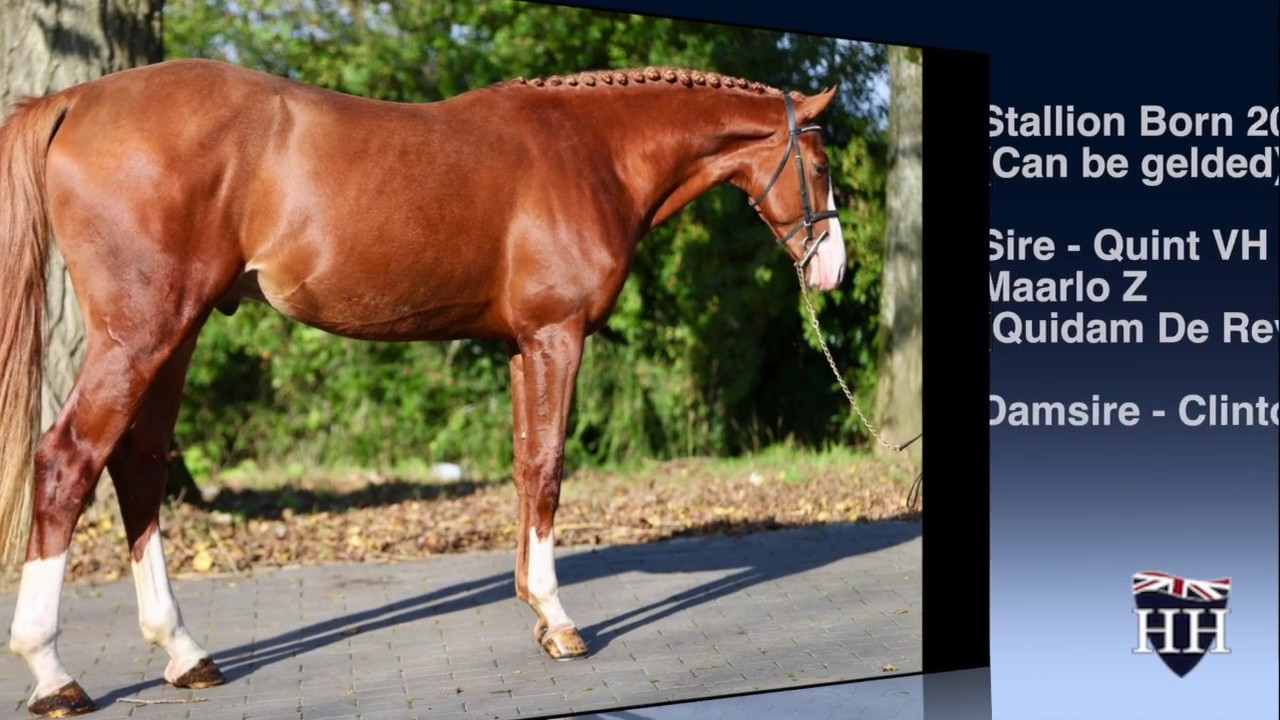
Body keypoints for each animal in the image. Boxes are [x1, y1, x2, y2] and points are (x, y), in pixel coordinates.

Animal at [0, 59, 847, 716]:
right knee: (68, 461)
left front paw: (539, 613)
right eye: (822, 166)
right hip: (141, 334)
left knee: (137, 466)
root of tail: (75, 101)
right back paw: (53, 674)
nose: (834, 270)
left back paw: (184, 653)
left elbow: (525, 469)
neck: (592, 153)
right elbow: (549, 470)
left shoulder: (520, 345)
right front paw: (562, 621)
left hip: (174, 333)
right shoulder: (556, 336)